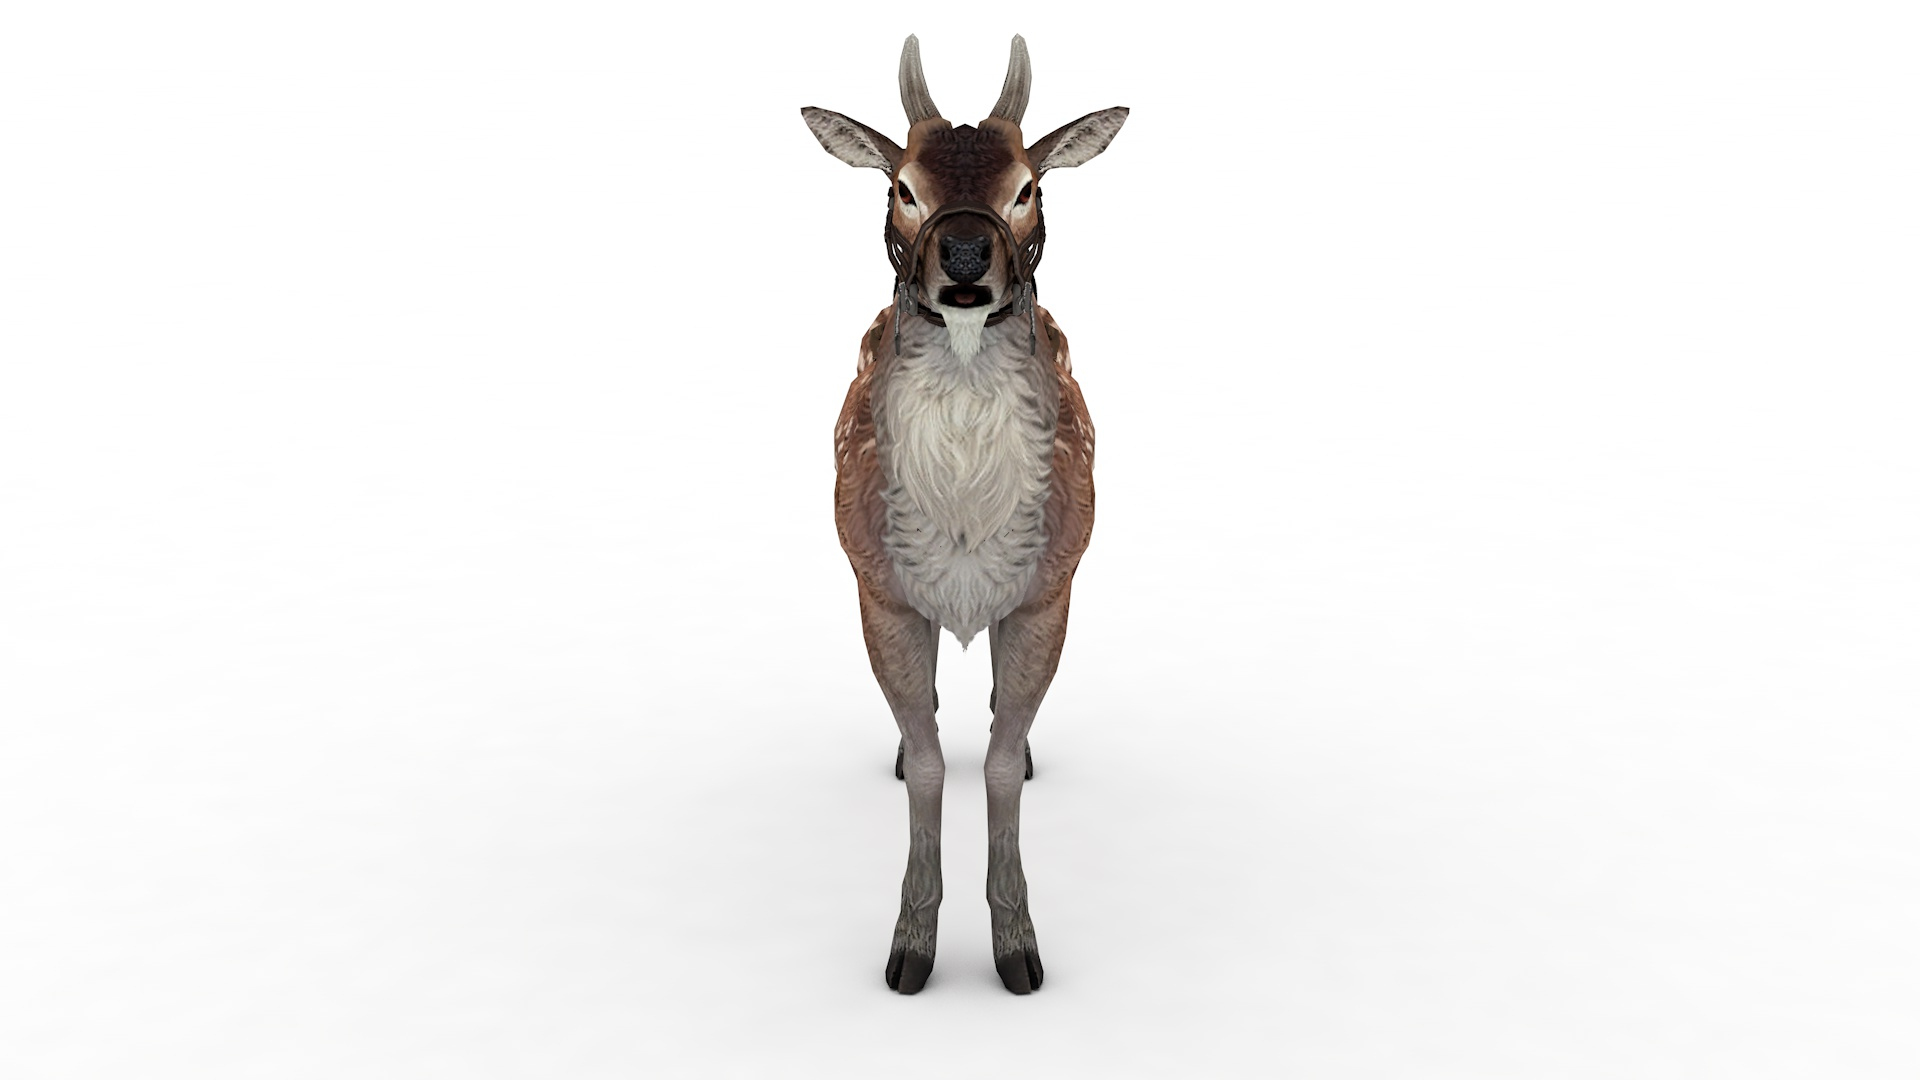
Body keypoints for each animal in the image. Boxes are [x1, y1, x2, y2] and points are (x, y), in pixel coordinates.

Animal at [801, 34, 1127, 995]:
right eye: (903, 185)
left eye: (1028, 185)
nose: (970, 259)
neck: (965, 531)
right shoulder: (879, 589)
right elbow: (931, 763)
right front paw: (910, 947)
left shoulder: (1050, 589)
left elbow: (998, 764)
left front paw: (1019, 947)